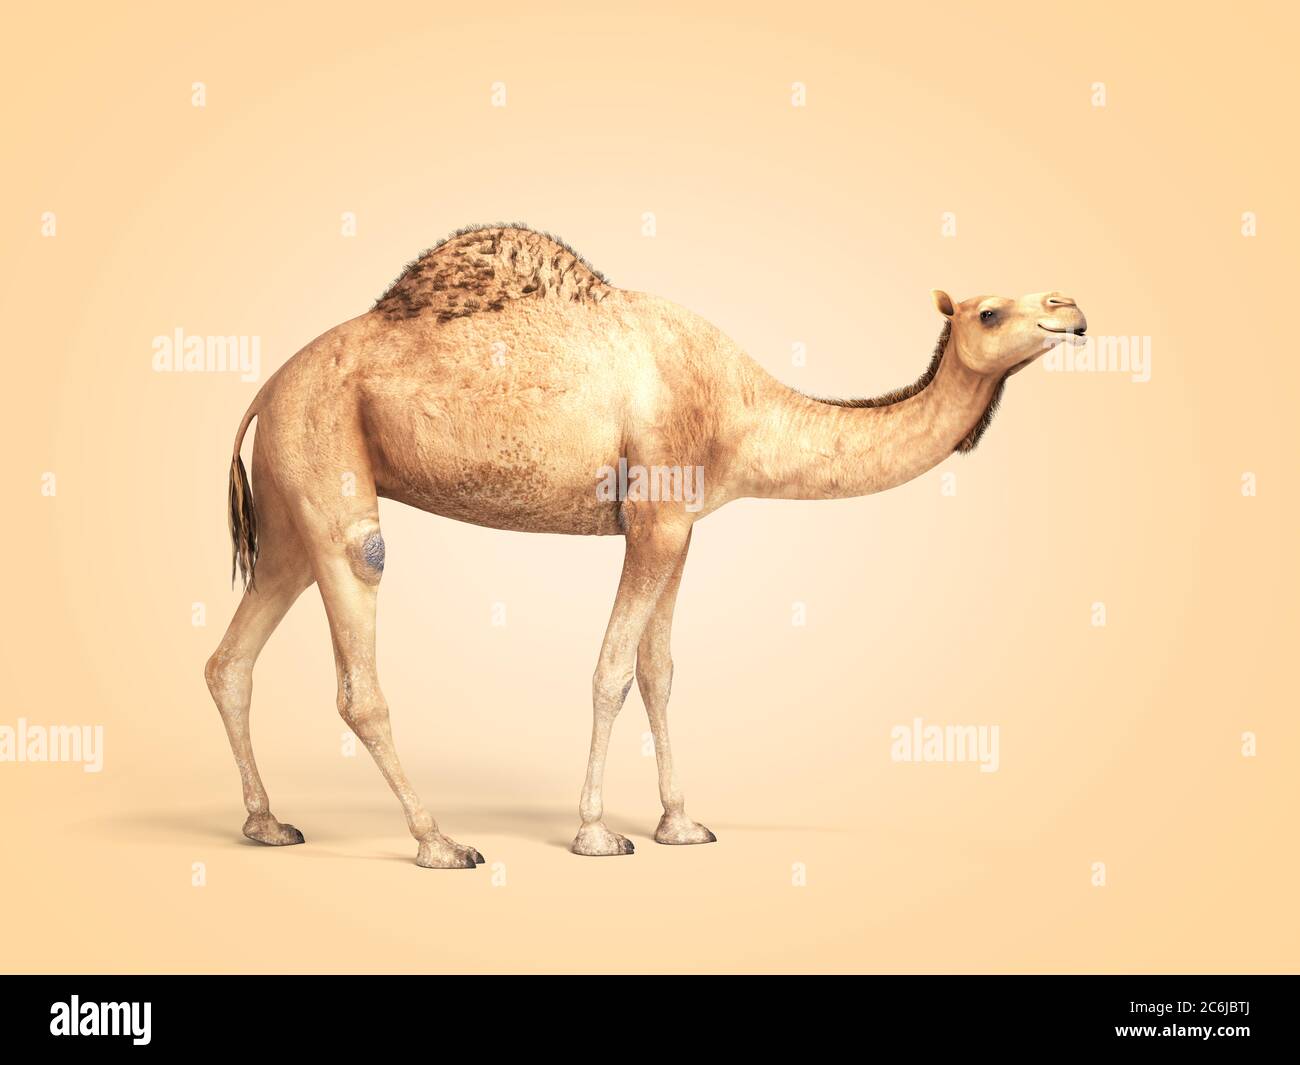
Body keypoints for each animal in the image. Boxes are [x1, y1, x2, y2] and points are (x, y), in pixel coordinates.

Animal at [204, 224, 1087, 867]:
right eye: (989, 312)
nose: (1071, 307)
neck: (738, 404)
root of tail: (264, 387)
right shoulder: (653, 517)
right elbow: (613, 673)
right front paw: (597, 832)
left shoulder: (682, 525)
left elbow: (660, 672)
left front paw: (682, 822)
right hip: (327, 458)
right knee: (361, 629)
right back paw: (440, 843)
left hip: (292, 505)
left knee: (231, 659)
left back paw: (266, 823)